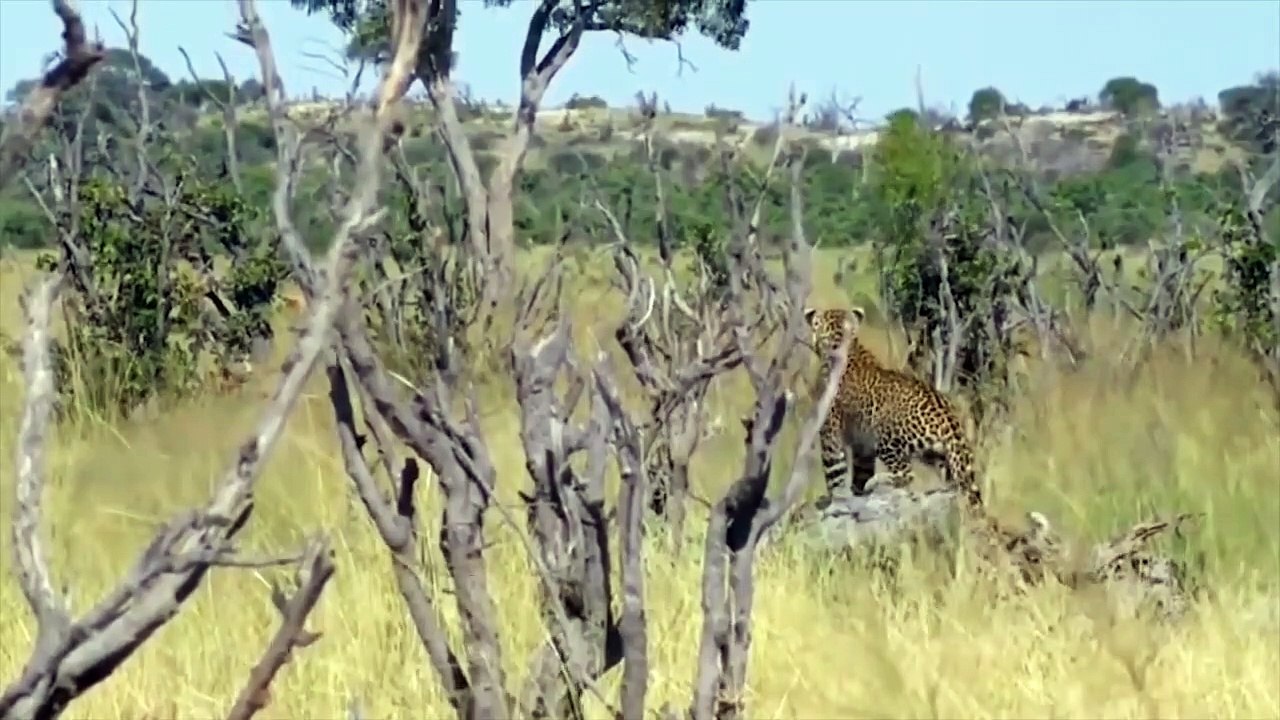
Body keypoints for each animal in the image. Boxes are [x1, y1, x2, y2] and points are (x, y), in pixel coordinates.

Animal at [803, 305, 986, 514]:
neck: (842, 339)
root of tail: (947, 414)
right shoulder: (862, 443)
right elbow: (861, 469)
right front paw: (857, 490)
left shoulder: (830, 433)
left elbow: (834, 471)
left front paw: (835, 499)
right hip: (938, 454)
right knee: (956, 482)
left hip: (886, 439)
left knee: (907, 474)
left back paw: (878, 482)